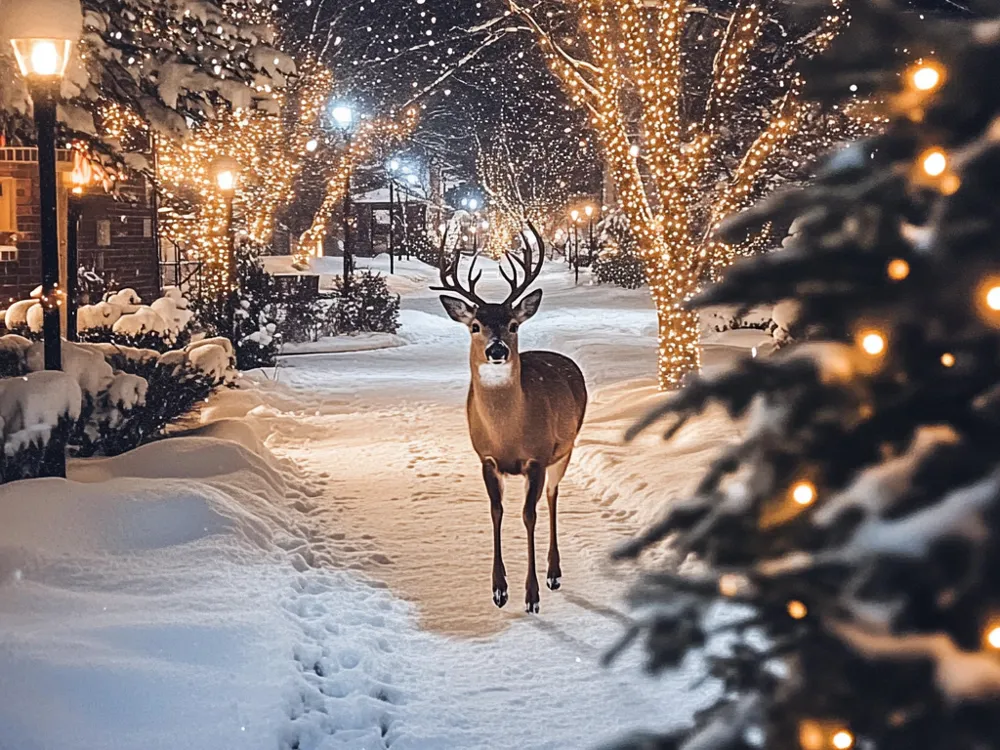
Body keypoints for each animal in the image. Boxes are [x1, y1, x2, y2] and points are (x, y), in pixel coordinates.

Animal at [434, 223, 588, 613]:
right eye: (475, 325)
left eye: (513, 324)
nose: (497, 350)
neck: (508, 432)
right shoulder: (486, 459)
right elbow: (497, 511)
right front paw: (499, 589)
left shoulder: (536, 458)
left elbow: (528, 515)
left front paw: (531, 595)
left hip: (565, 450)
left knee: (552, 496)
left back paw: (554, 573)